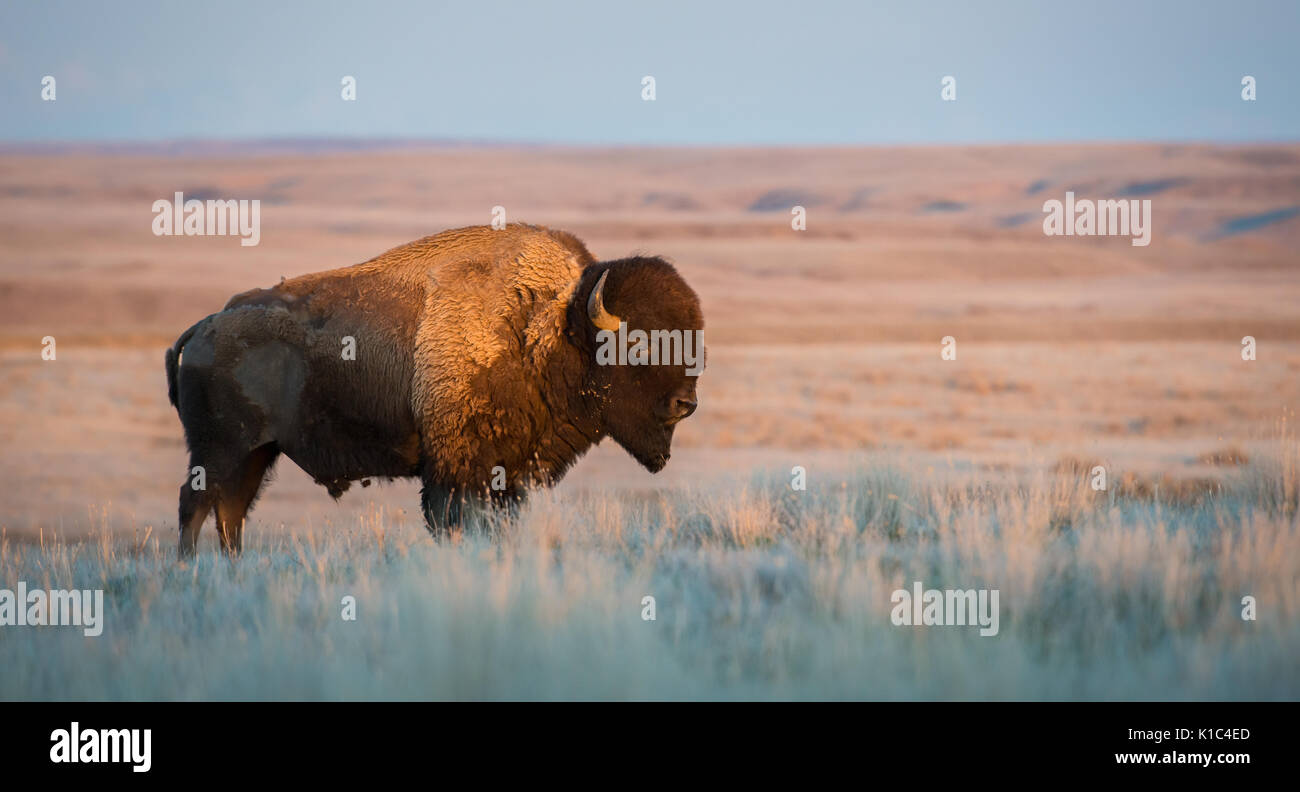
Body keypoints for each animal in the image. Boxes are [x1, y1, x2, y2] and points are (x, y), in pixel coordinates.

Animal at [165, 224, 703, 556]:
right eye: (637, 343)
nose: (686, 403)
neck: (543, 329)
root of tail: (202, 329)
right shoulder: (457, 471)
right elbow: (455, 522)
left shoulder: (508, 476)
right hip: (220, 449)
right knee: (197, 507)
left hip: (256, 453)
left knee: (230, 513)